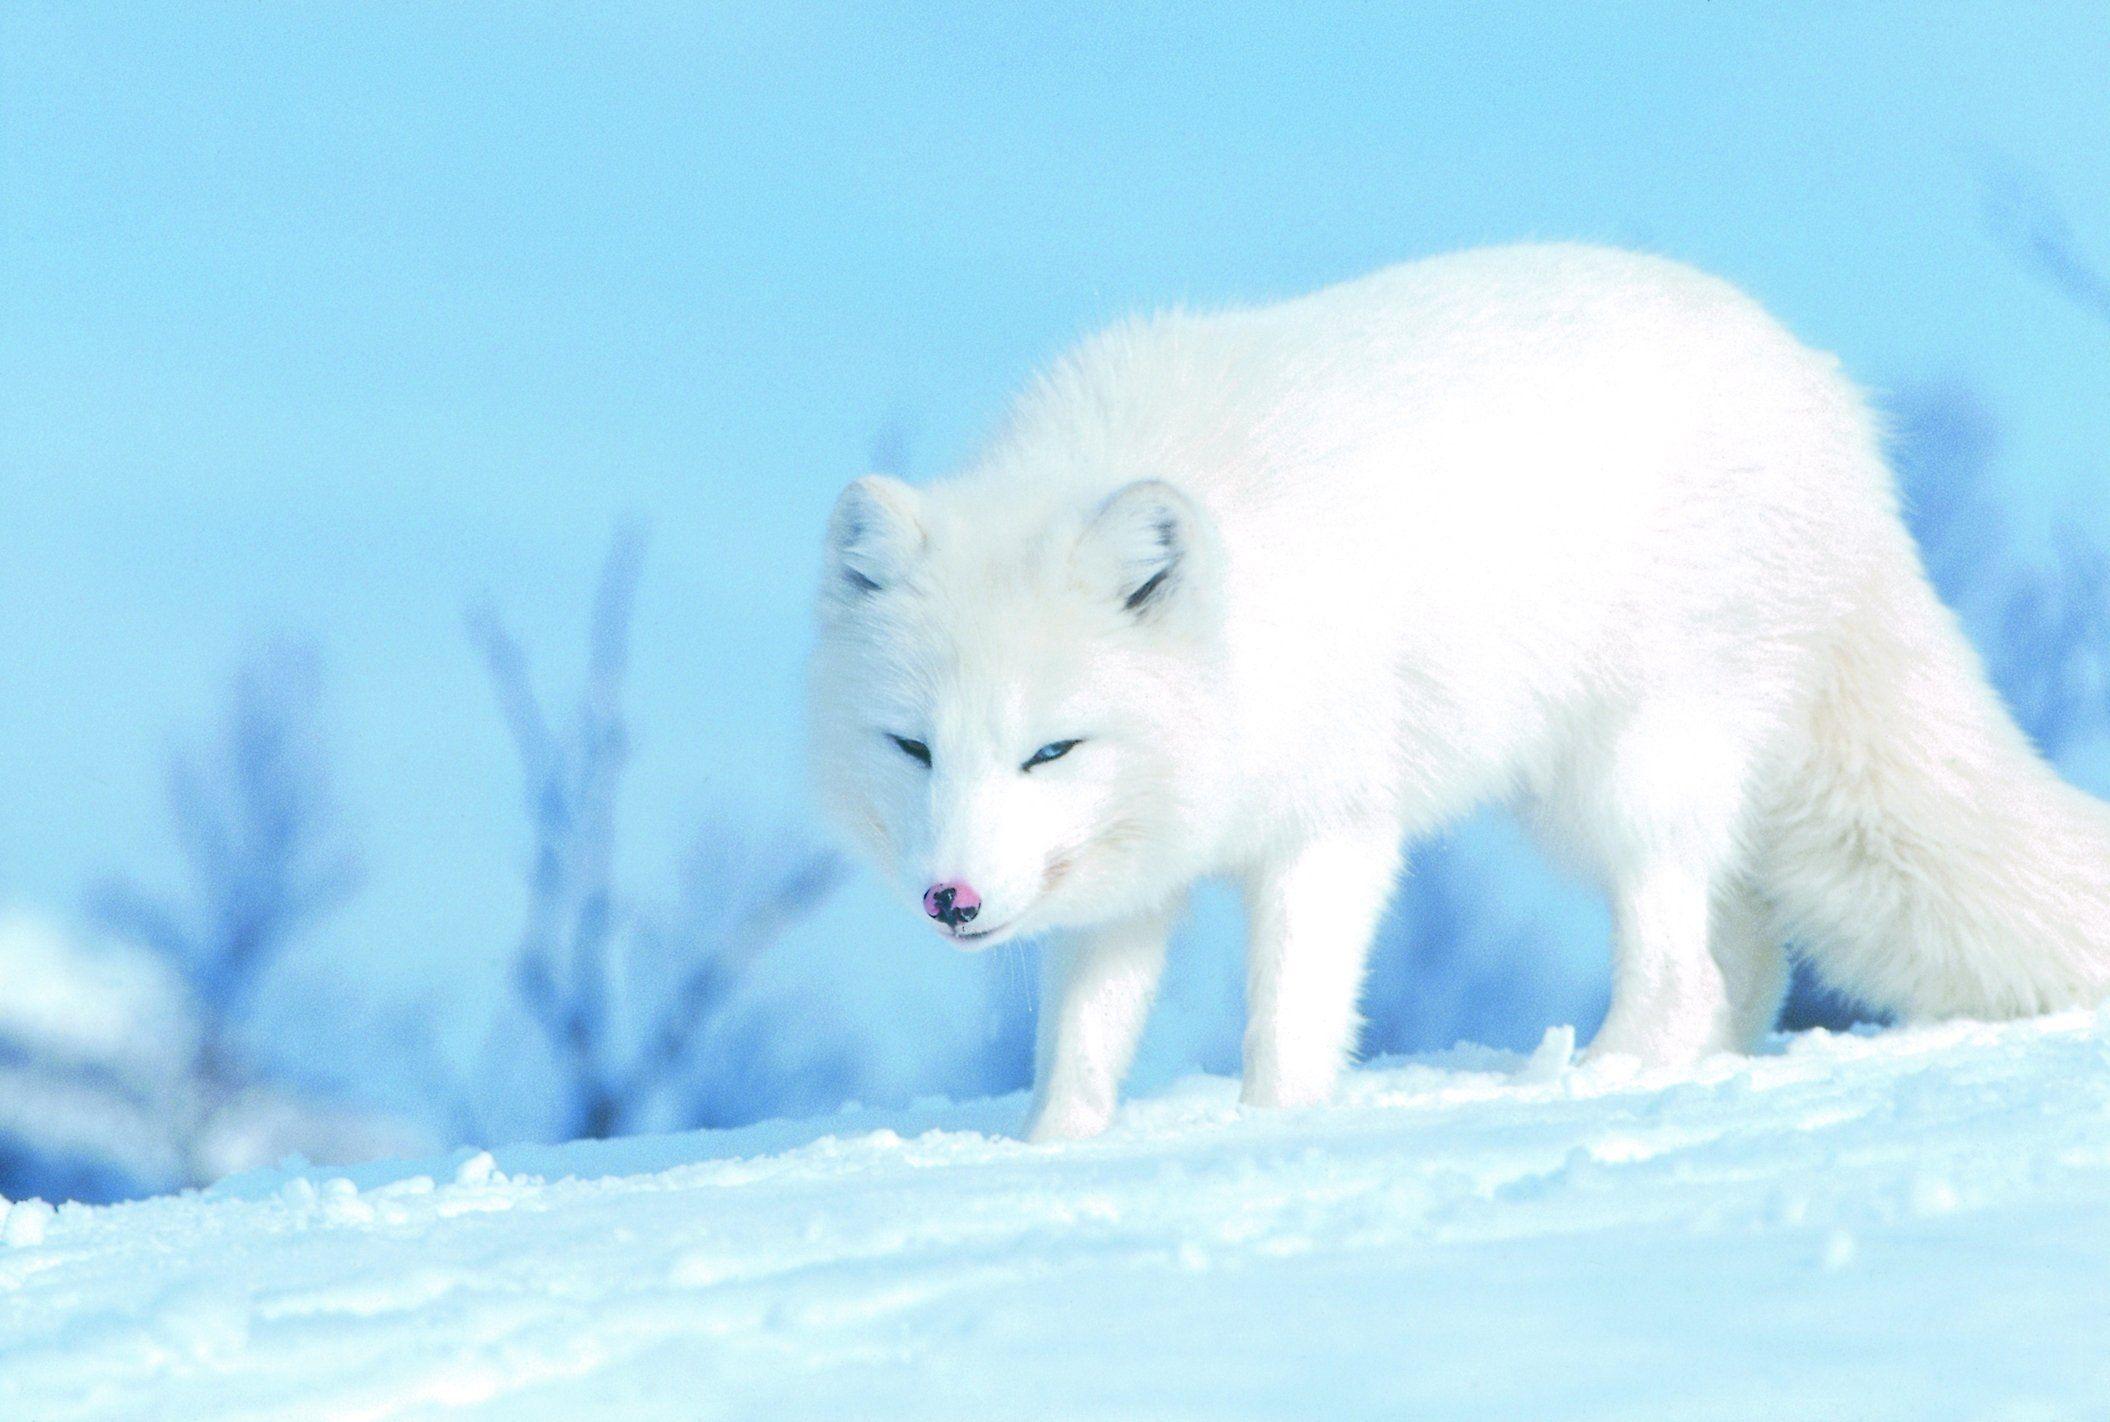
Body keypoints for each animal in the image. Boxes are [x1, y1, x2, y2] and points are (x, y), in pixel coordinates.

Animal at [807, 242, 2110, 1141]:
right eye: (914, 749)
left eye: (1049, 751)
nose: (953, 900)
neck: (1248, 625)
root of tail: (1839, 421)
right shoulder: (1132, 875)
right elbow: (1080, 1046)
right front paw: (1055, 1152)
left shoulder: (1332, 829)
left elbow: (1286, 1028)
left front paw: (1263, 1142)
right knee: (1741, 954)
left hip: (1627, 775)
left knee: (1681, 967)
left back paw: (1600, 1078)